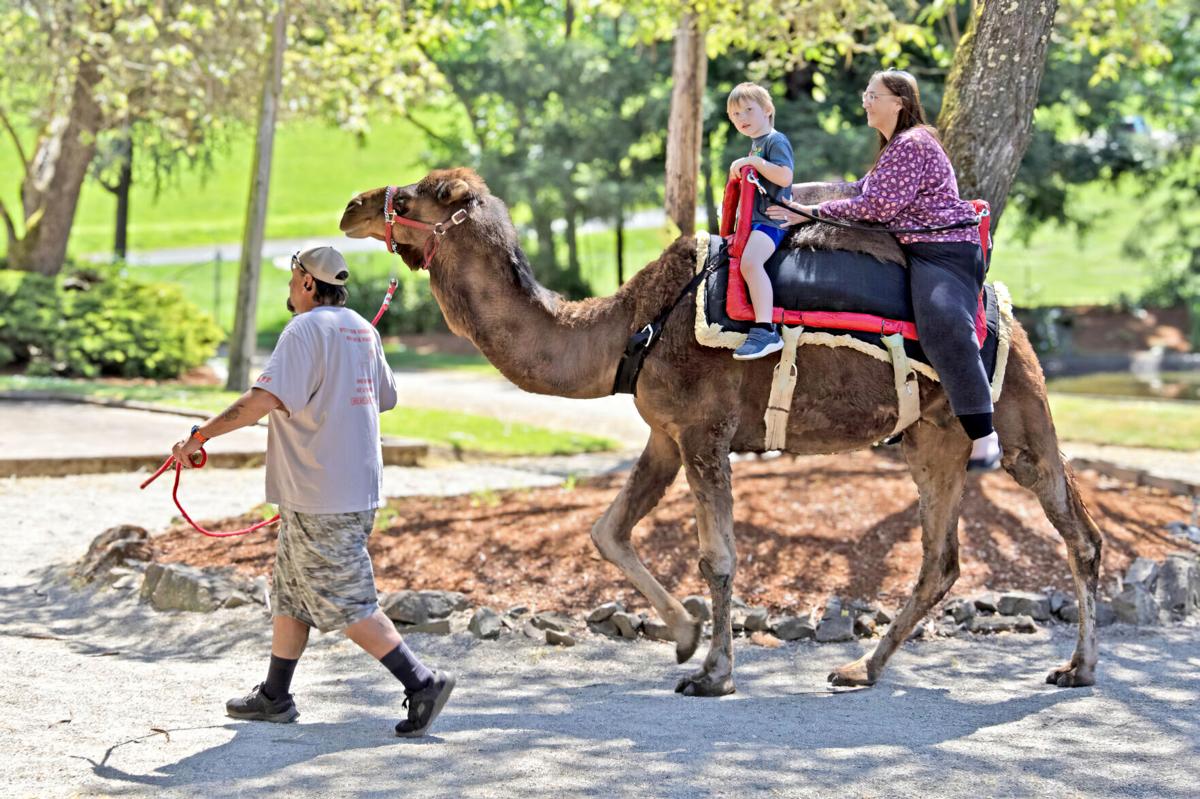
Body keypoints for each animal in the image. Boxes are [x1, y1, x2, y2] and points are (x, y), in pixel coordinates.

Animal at [340, 167, 1103, 697]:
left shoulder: (706, 430)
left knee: (1078, 531)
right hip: (931, 437)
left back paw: (1078, 667)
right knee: (940, 557)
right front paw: (683, 636)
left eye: (417, 197)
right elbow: (607, 530)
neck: (629, 327)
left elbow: (719, 557)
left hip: (1016, 409)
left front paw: (712, 673)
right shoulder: (665, 432)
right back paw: (860, 668)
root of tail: (1008, 311)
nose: (353, 204)